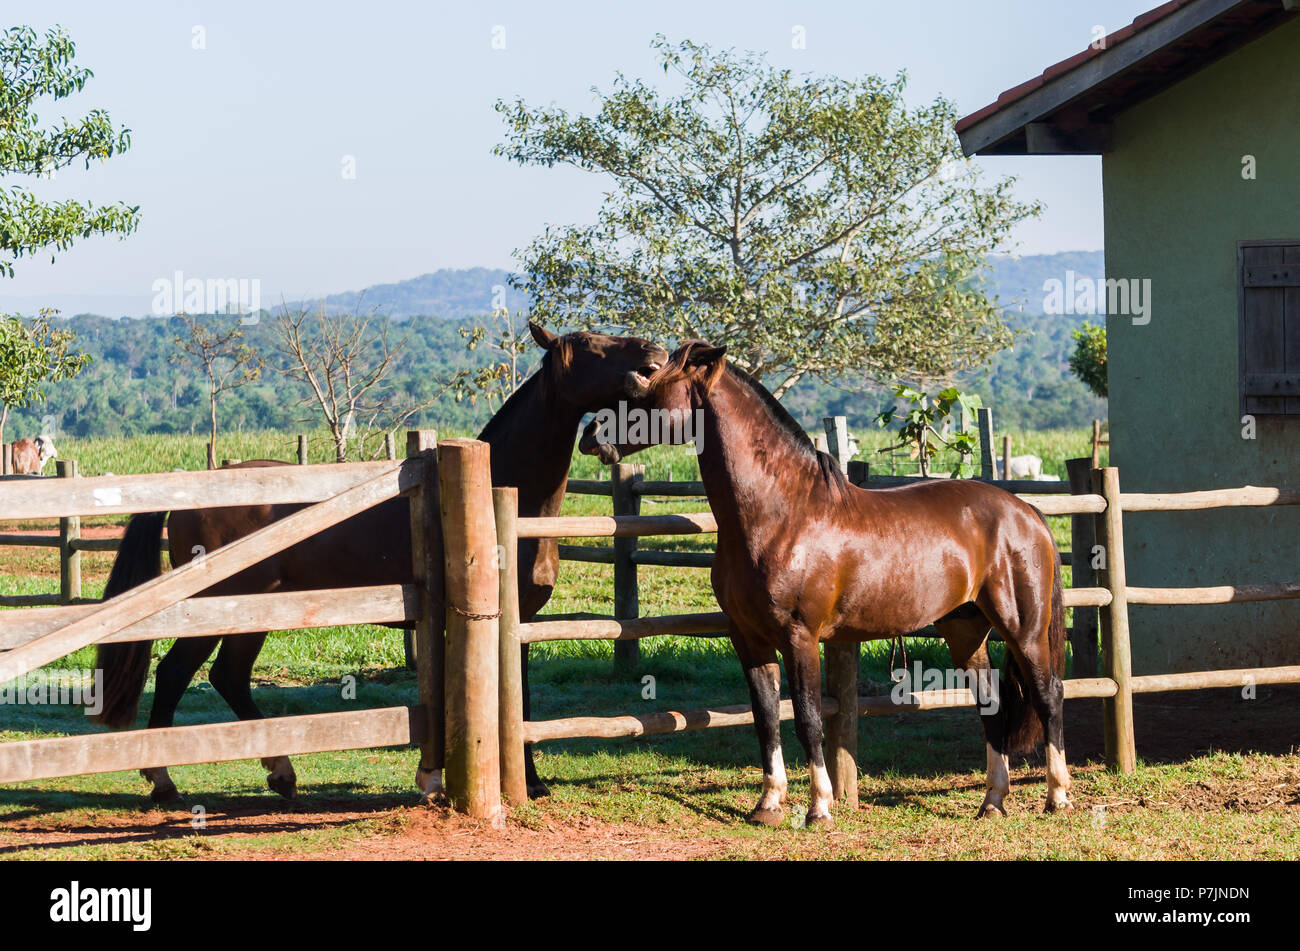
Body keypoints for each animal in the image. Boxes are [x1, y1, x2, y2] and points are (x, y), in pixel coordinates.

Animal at [92, 323, 668, 804]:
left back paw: (281, 773)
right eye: (591, 345)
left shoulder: (517, 621)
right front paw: (475, 779)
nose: (655, 352)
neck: (502, 490)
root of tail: (186, 491)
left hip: (255, 613)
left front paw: (514, 779)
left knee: (228, 678)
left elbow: (515, 700)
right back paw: (164, 780)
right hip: (217, 609)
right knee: (175, 674)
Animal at [579, 341, 1070, 825]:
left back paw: (1058, 798)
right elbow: (765, 719)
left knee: (1048, 696)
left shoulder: (800, 636)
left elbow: (808, 718)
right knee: (991, 704)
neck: (780, 513)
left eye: (646, 389)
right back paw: (992, 803)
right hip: (965, 629)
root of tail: (1026, 511)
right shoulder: (748, 638)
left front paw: (819, 808)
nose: (592, 434)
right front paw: (768, 805)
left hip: (1023, 630)